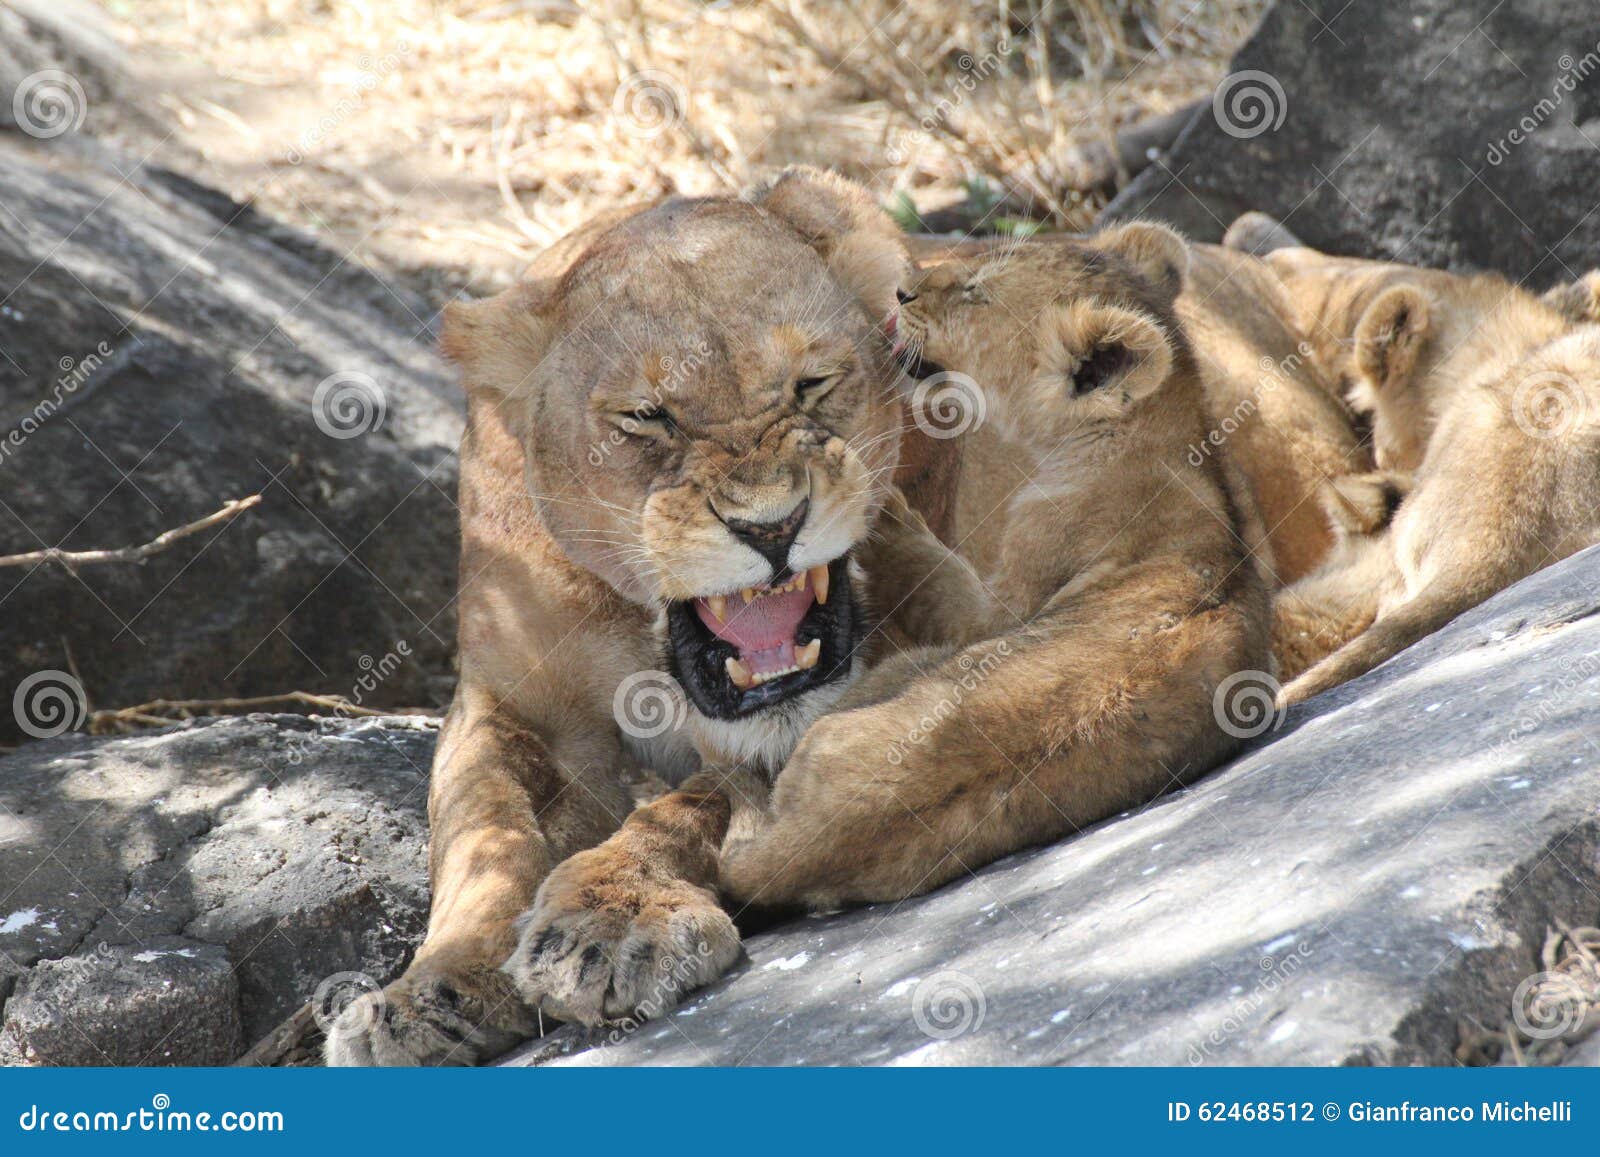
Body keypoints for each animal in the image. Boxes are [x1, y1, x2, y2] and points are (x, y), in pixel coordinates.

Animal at [497, 220, 1272, 1027]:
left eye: (975, 291)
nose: (902, 292)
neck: (1173, 426)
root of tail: (836, 829)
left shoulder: (1007, 593)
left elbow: (947, 585)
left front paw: (887, 513)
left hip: (870, 692)